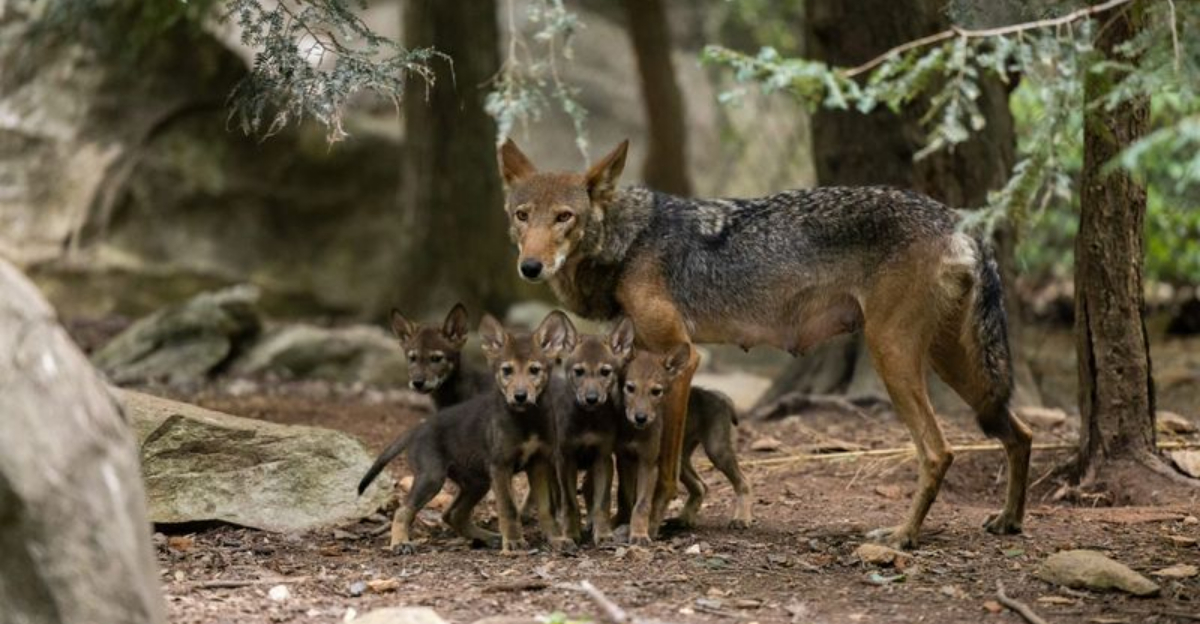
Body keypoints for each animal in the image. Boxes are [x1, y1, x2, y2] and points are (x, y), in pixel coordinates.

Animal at [495, 139, 1032, 549]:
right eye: (522, 216)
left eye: (564, 217)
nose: (530, 267)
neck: (629, 242)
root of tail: (959, 222)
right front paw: (618, 520)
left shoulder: (680, 357)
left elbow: (664, 467)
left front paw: (648, 525)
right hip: (951, 364)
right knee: (1020, 432)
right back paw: (1008, 521)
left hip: (893, 356)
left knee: (939, 452)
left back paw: (902, 536)